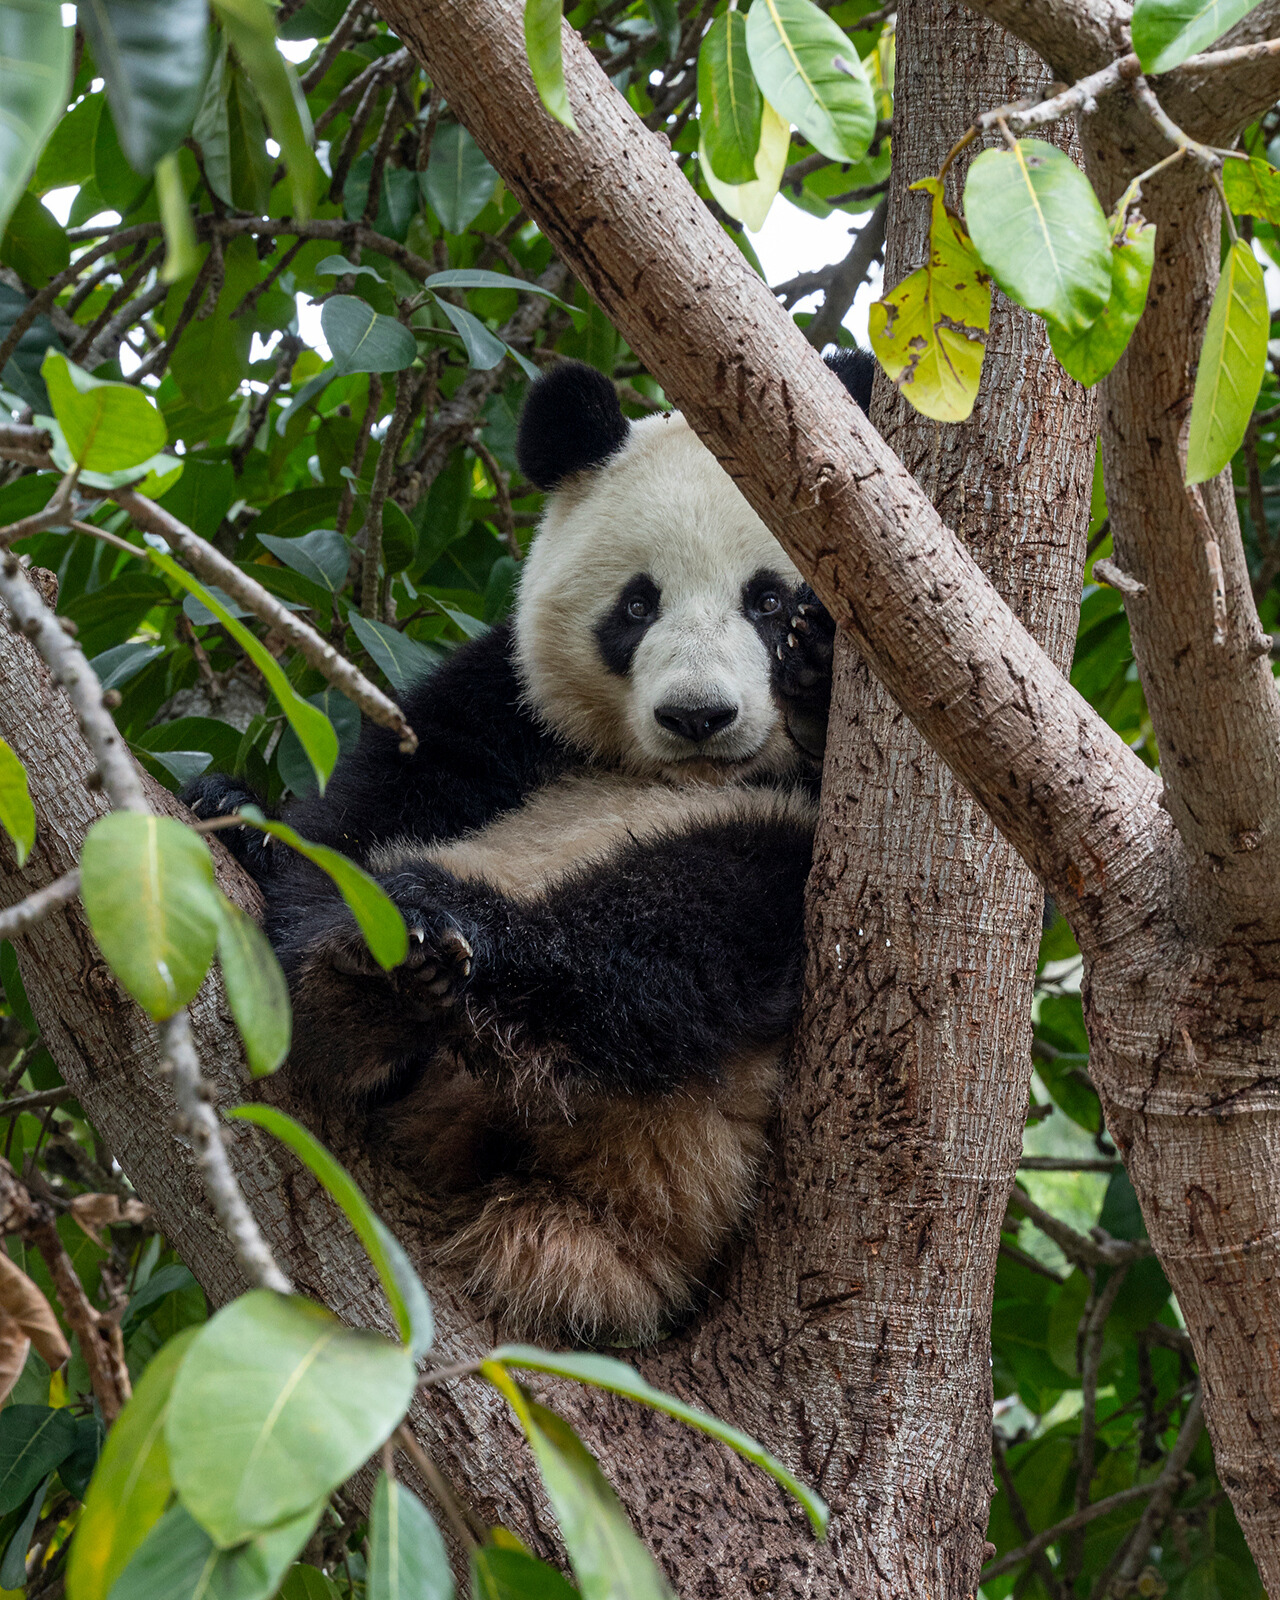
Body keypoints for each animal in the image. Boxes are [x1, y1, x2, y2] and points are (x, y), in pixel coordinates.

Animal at [191, 348, 873, 1344]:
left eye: (769, 598)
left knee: (681, 926)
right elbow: (393, 783)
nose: (698, 716)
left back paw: (423, 943)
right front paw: (259, 837)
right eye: (637, 605)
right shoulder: (513, 712)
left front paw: (817, 664)